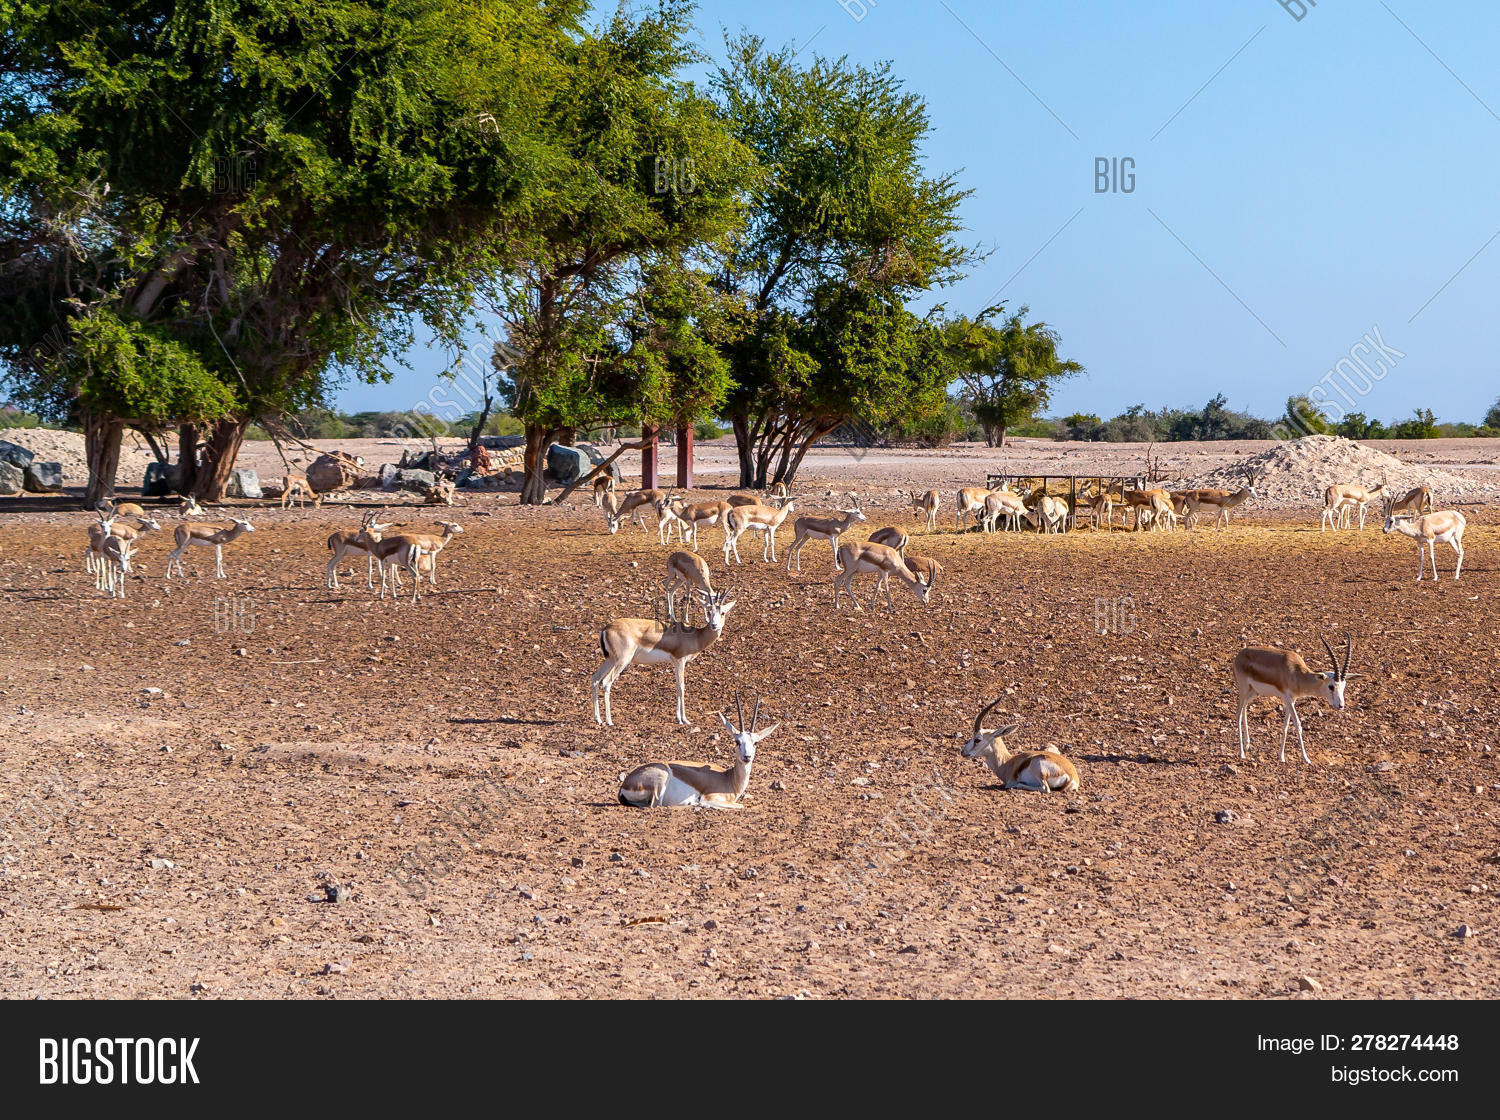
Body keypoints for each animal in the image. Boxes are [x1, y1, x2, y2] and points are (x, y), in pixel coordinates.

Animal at [590, 588, 736, 726]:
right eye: (709, 612)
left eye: (722, 612)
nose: (714, 625)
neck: (695, 636)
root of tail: (606, 628)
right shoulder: (680, 661)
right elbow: (681, 687)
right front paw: (684, 719)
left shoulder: (675, 662)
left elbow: (677, 686)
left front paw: (678, 718)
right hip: (622, 661)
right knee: (606, 682)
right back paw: (609, 721)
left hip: (610, 660)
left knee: (595, 679)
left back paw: (598, 719)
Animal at [617, 690, 777, 809]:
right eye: (737, 741)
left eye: (755, 742)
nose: (747, 757)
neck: (729, 779)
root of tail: (624, 786)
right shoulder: (709, 798)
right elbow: (739, 806)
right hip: (662, 780)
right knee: (656, 805)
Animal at [1232, 635, 1358, 764]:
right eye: (1331, 686)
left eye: (1344, 685)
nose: (1341, 705)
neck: (1296, 674)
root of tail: (1239, 655)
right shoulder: (1288, 699)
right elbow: (1297, 724)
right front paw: (1306, 758)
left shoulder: (1291, 700)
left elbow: (1286, 725)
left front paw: (1281, 756)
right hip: (1244, 690)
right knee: (1238, 713)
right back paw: (1241, 753)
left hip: (1253, 692)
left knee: (1244, 708)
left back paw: (1247, 744)